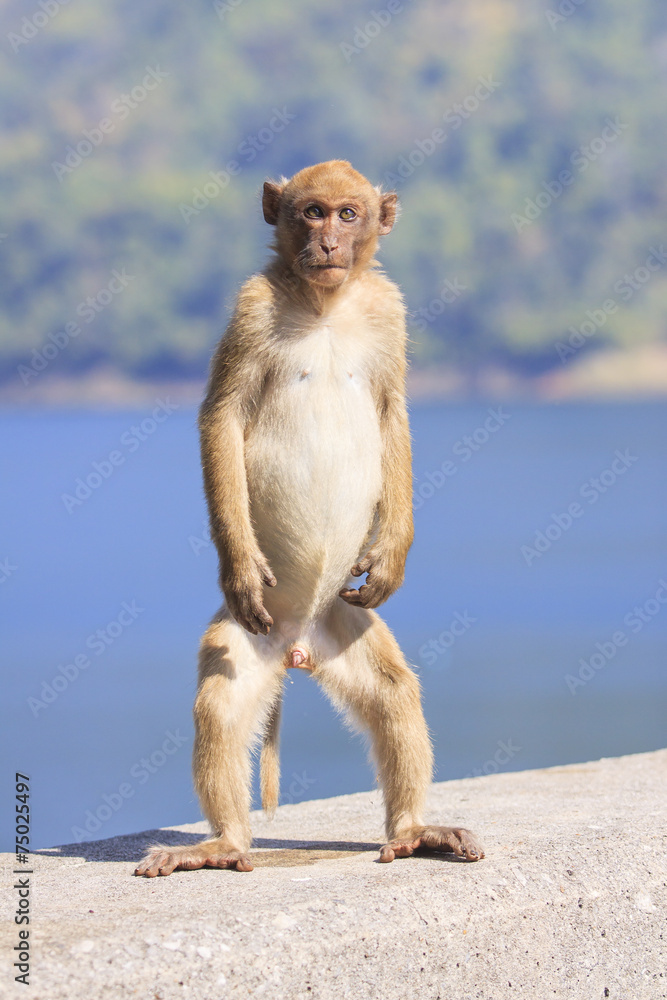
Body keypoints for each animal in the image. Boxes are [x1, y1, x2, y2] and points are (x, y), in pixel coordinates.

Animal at [135, 160, 484, 877]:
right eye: (311, 212)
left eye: (347, 214)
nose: (326, 242)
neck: (326, 305)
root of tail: (298, 646)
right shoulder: (251, 306)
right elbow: (222, 416)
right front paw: (240, 566)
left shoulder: (388, 310)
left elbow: (392, 413)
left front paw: (392, 555)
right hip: (253, 635)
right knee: (221, 701)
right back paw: (224, 843)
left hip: (342, 626)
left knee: (393, 691)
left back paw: (414, 829)